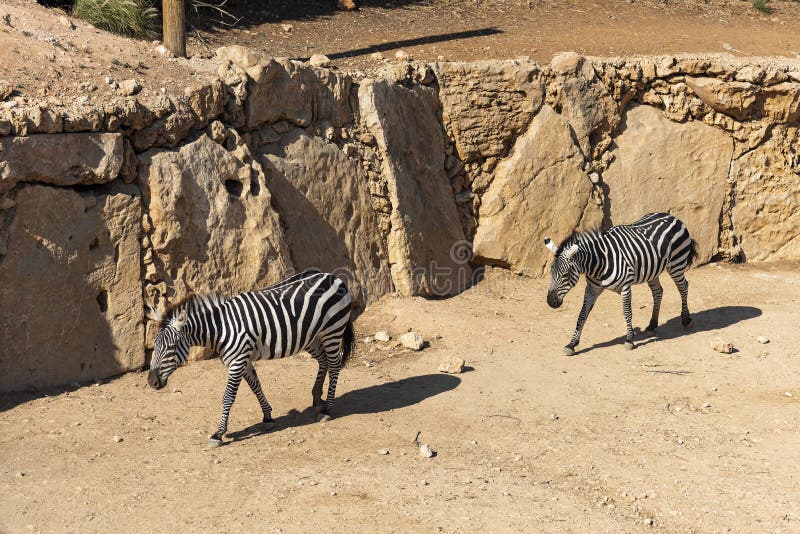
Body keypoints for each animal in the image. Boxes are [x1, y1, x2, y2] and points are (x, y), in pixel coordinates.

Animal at [146, 270, 354, 447]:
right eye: (155, 344)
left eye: (171, 347)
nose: (151, 382)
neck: (220, 328)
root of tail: (332, 276)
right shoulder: (242, 359)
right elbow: (256, 386)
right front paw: (268, 417)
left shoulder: (237, 361)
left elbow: (228, 397)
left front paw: (218, 433)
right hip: (311, 336)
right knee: (323, 361)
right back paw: (317, 399)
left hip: (333, 330)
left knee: (335, 365)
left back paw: (327, 409)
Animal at [544, 212, 698, 355]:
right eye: (551, 273)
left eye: (565, 275)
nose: (550, 302)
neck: (600, 262)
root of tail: (672, 216)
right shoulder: (591, 289)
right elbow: (582, 315)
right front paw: (571, 344)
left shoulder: (625, 287)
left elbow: (627, 312)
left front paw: (629, 339)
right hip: (653, 270)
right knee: (658, 292)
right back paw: (652, 325)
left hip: (676, 264)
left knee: (683, 287)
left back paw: (686, 320)